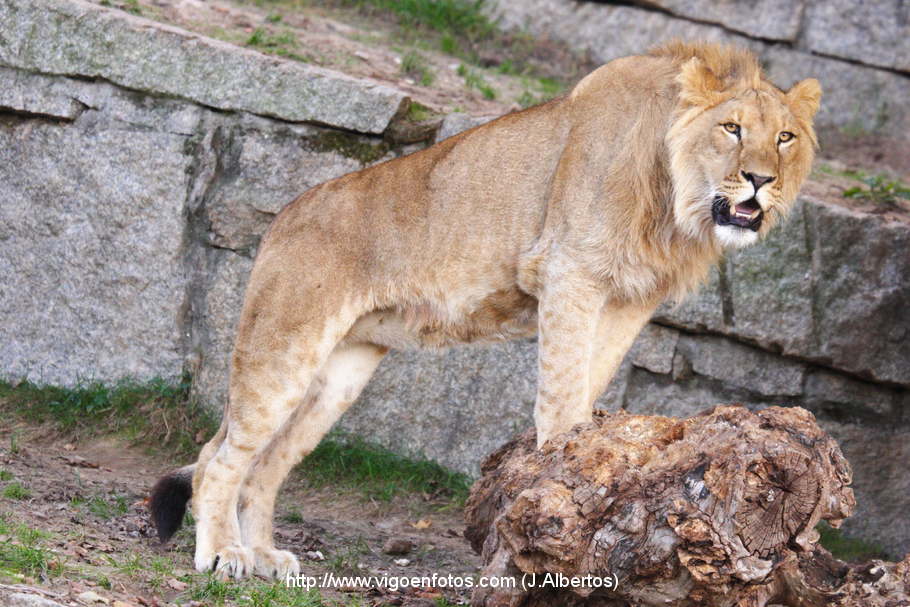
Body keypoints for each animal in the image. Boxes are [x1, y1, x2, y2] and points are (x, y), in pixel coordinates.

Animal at [150, 40, 821, 580]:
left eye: (784, 138)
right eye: (731, 128)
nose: (760, 180)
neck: (676, 205)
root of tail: (281, 218)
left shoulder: (633, 296)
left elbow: (593, 373)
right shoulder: (569, 270)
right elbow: (562, 388)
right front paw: (563, 463)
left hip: (338, 377)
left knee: (262, 467)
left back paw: (264, 555)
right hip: (285, 352)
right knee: (218, 462)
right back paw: (223, 555)